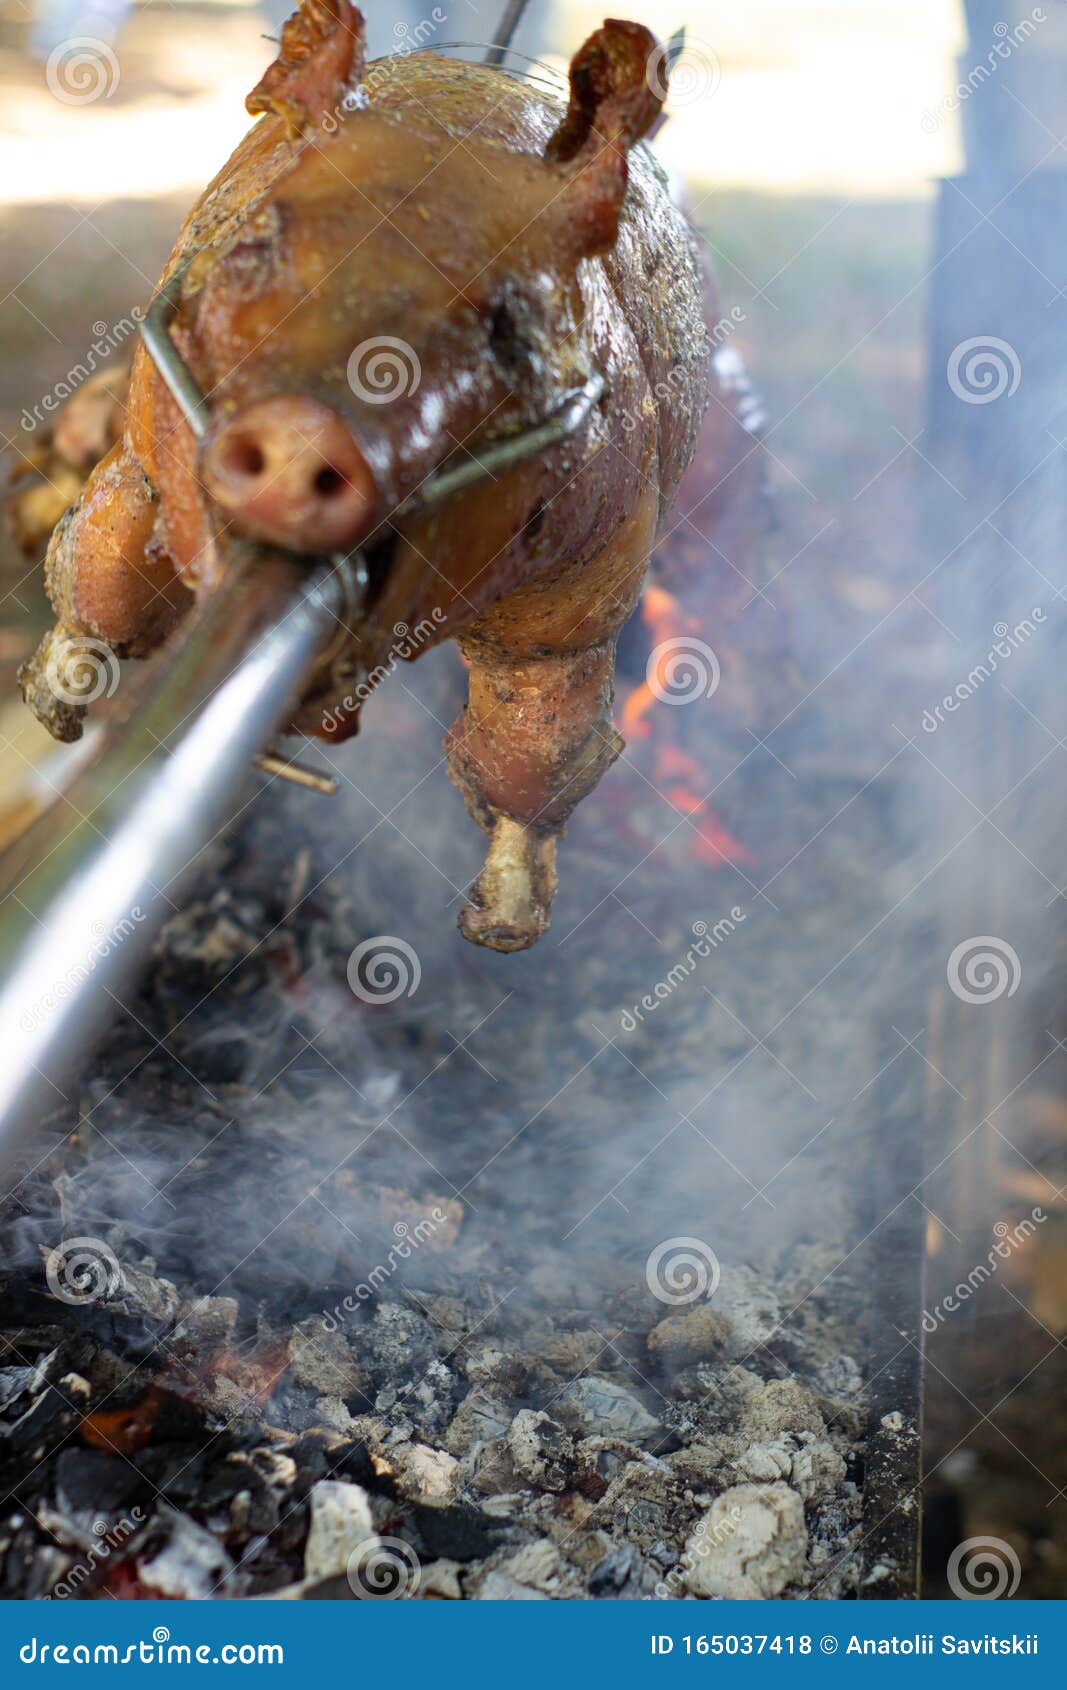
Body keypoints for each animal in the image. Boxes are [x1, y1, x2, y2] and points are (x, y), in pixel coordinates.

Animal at [16, 1, 728, 951]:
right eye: (255, 246)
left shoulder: (587, 589)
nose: (300, 433)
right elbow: (106, 566)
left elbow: (538, 747)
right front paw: (58, 705)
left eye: (510, 328)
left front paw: (499, 928)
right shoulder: (141, 450)